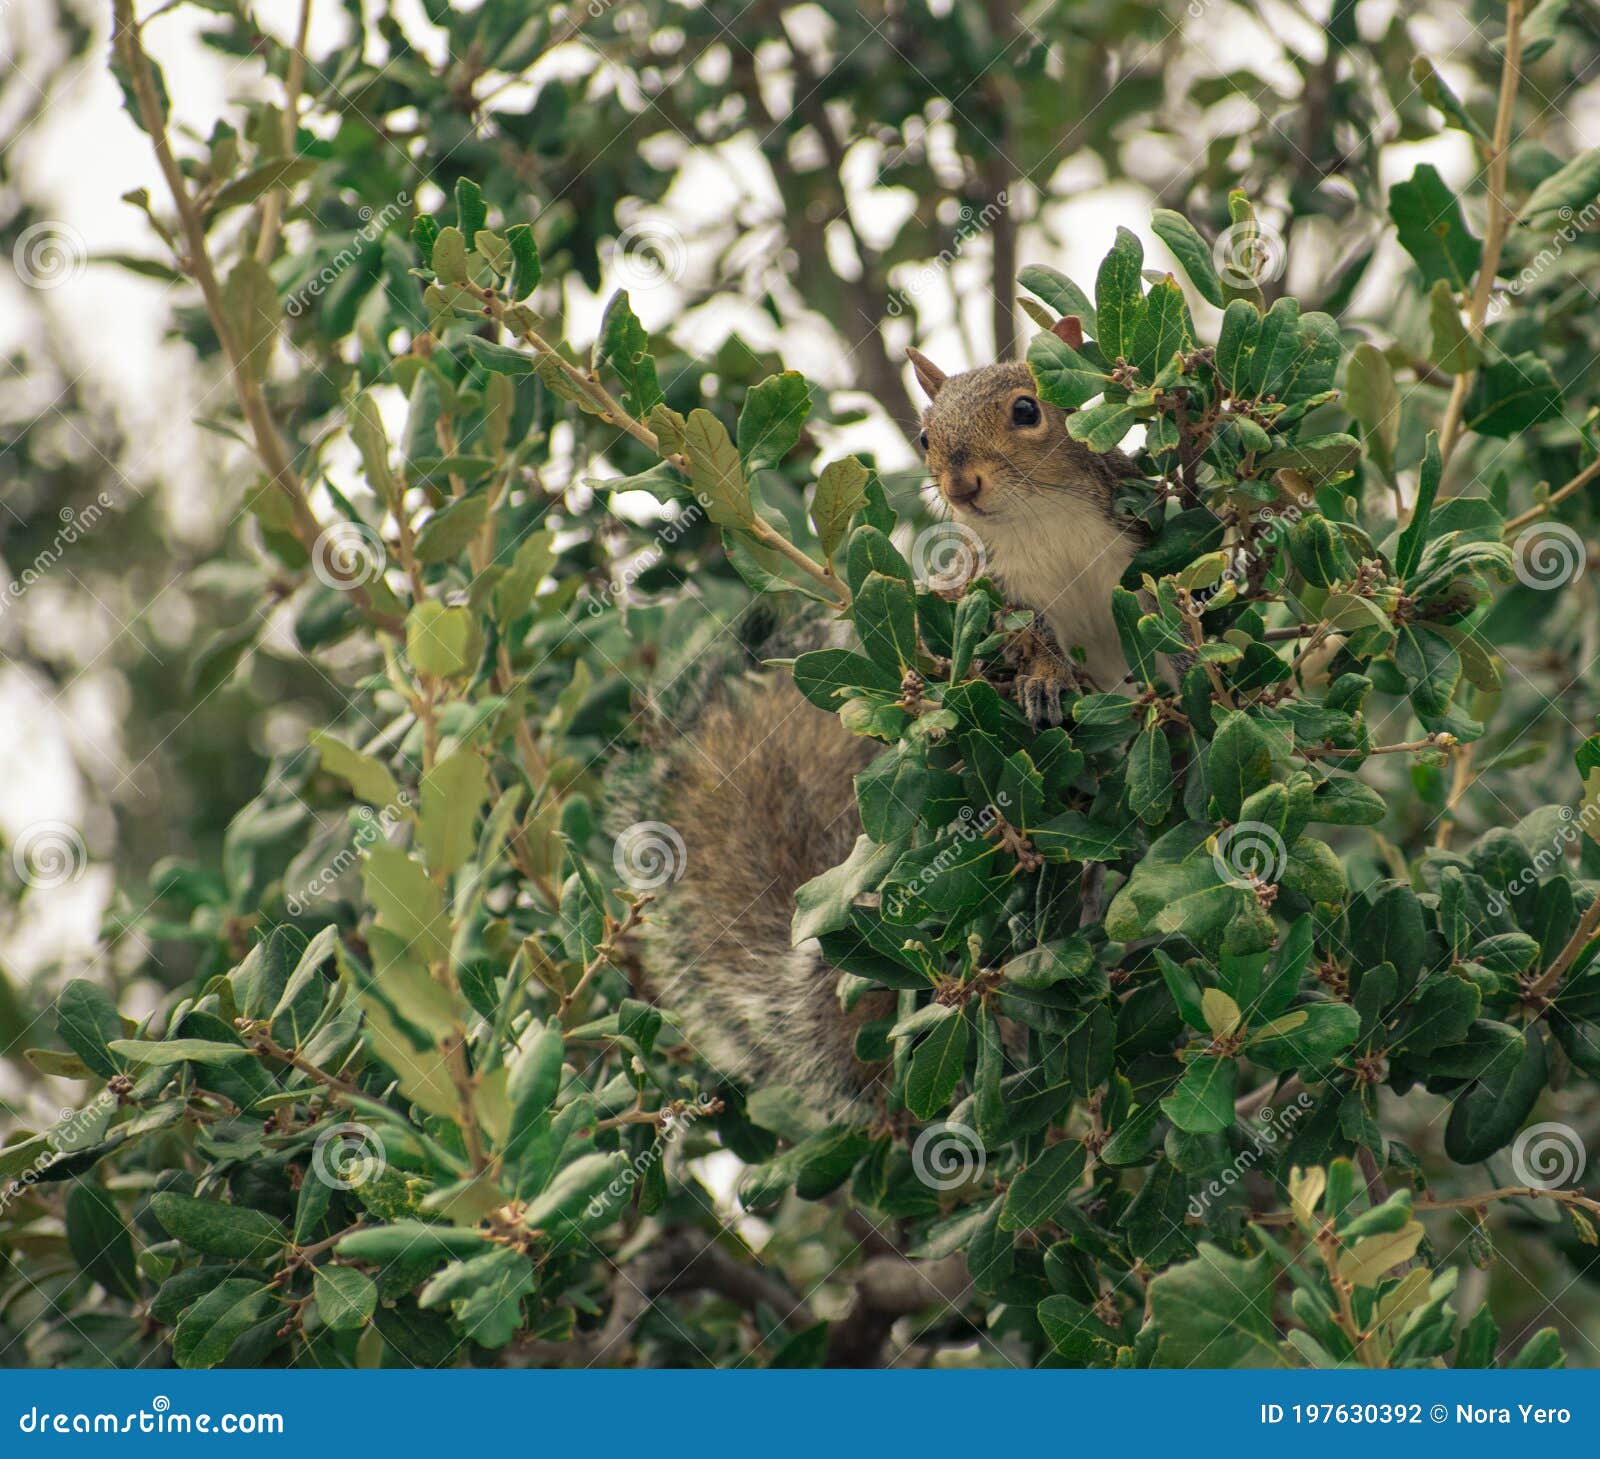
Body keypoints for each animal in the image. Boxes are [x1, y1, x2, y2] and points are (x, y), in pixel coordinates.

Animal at [628, 349, 1151, 1119]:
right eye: (926, 436)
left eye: (1027, 411)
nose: (960, 485)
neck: (1040, 520)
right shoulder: (992, 594)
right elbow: (1023, 643)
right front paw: (1044, 677)